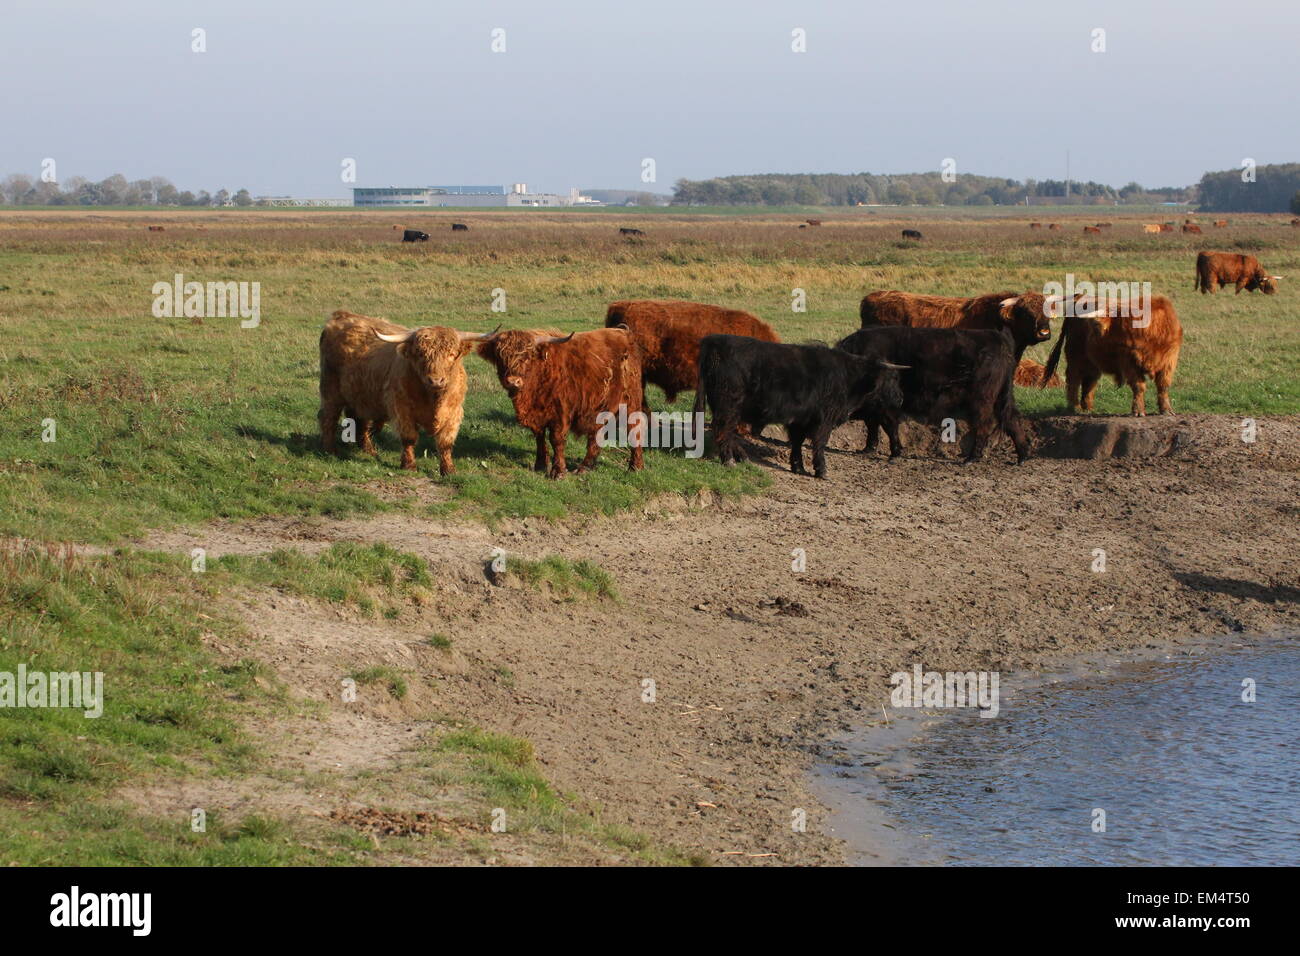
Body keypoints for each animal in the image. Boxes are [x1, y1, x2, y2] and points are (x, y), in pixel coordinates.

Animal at [318, 311, 493, 476]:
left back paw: (369, 451)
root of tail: (342, 315)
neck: (433, 399)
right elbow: (409, 438)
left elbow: (445, 443)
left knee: (359, 420)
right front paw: (409, 466)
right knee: (328, 418)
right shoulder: (402, 409)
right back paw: (330, 450)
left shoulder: (453, 412)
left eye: (451, 354)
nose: (436, 380)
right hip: (331, 390)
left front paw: (448, 470)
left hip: (361, 396)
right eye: (421, 354)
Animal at [476, 328, 645, 478]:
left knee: (634, 428)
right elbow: (539, 437)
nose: (513, 381)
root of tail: (623, 332)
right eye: (500, 356)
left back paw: (635, 466)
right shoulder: (537, 416)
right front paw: (540, 465)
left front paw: (558, 471)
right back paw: (585, 467)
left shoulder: (561, 413)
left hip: (631, 402)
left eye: (528, 357)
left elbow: (556, 439)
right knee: (597, 434)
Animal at [692, 335, 906, 478]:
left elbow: (797, 442)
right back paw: (729, 460)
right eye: (892, 378)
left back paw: (741, 457)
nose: (900, 398)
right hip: (728, 404)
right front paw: (821, 471)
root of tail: (714, 340)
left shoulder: (800, 420)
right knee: (722, 429)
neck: (849, 379)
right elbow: (819, 443)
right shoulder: (824, 419)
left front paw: (798, 467)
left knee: (725, 431)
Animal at [836, 326, 1030, 464]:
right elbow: (872, 424)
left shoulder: (887, 402)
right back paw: (1022, 456)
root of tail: (997, 337)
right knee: (1011, 418)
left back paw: (972, 458)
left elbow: (888, 425)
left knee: (985, 423)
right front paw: (868, 448)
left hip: (982, 398)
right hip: (1002, 397)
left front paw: (895, 453)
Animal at [1040, 295, 1182, 416]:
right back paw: (1074, 407)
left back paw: (1088, 407)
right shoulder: (1129, 362)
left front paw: (1166, 410)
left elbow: (1163, 386)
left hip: (1092, 361)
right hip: (1075, 356)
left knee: (1089, 381)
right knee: (1074, 380)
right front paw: (1138, 411)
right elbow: (1138, 386)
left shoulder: (1169, 362)